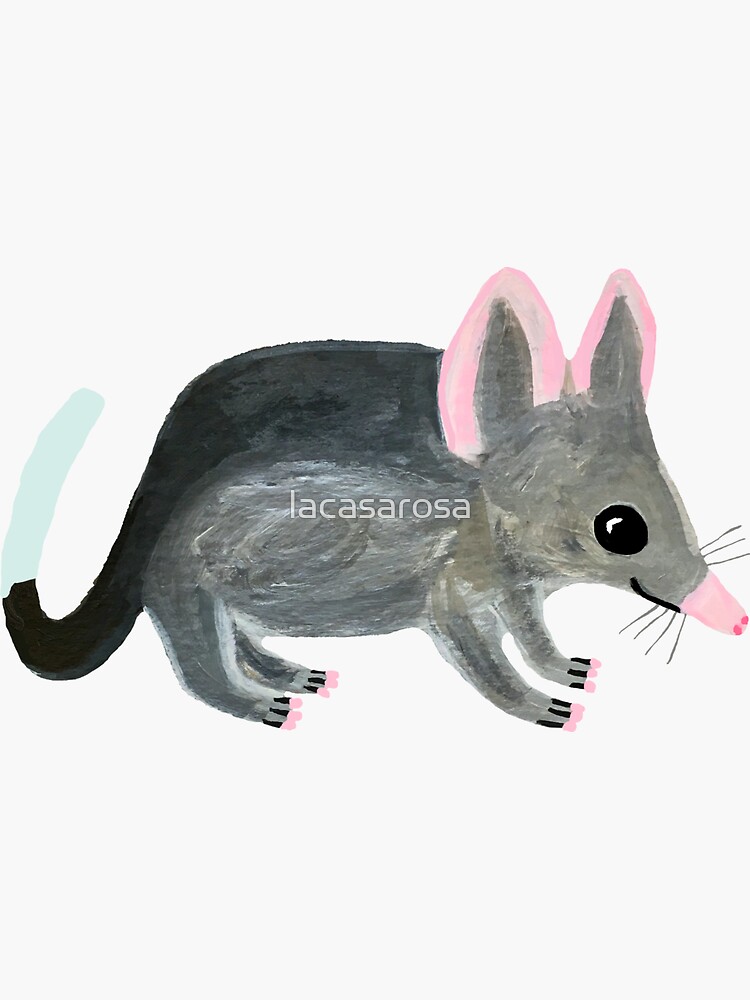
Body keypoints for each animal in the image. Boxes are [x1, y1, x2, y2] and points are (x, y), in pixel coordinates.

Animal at [4, 268, 746, 732]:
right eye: (620, 528)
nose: (736, 619)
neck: (489, 516)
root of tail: (150, 540)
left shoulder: (512, 590)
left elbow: (533, 636)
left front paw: (571, 670)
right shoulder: (450, 601)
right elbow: (489, 664)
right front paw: (547, 709)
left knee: (238, 639)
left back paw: (294, 673)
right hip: (186, 592)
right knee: (200, 665)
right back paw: (268, 707)